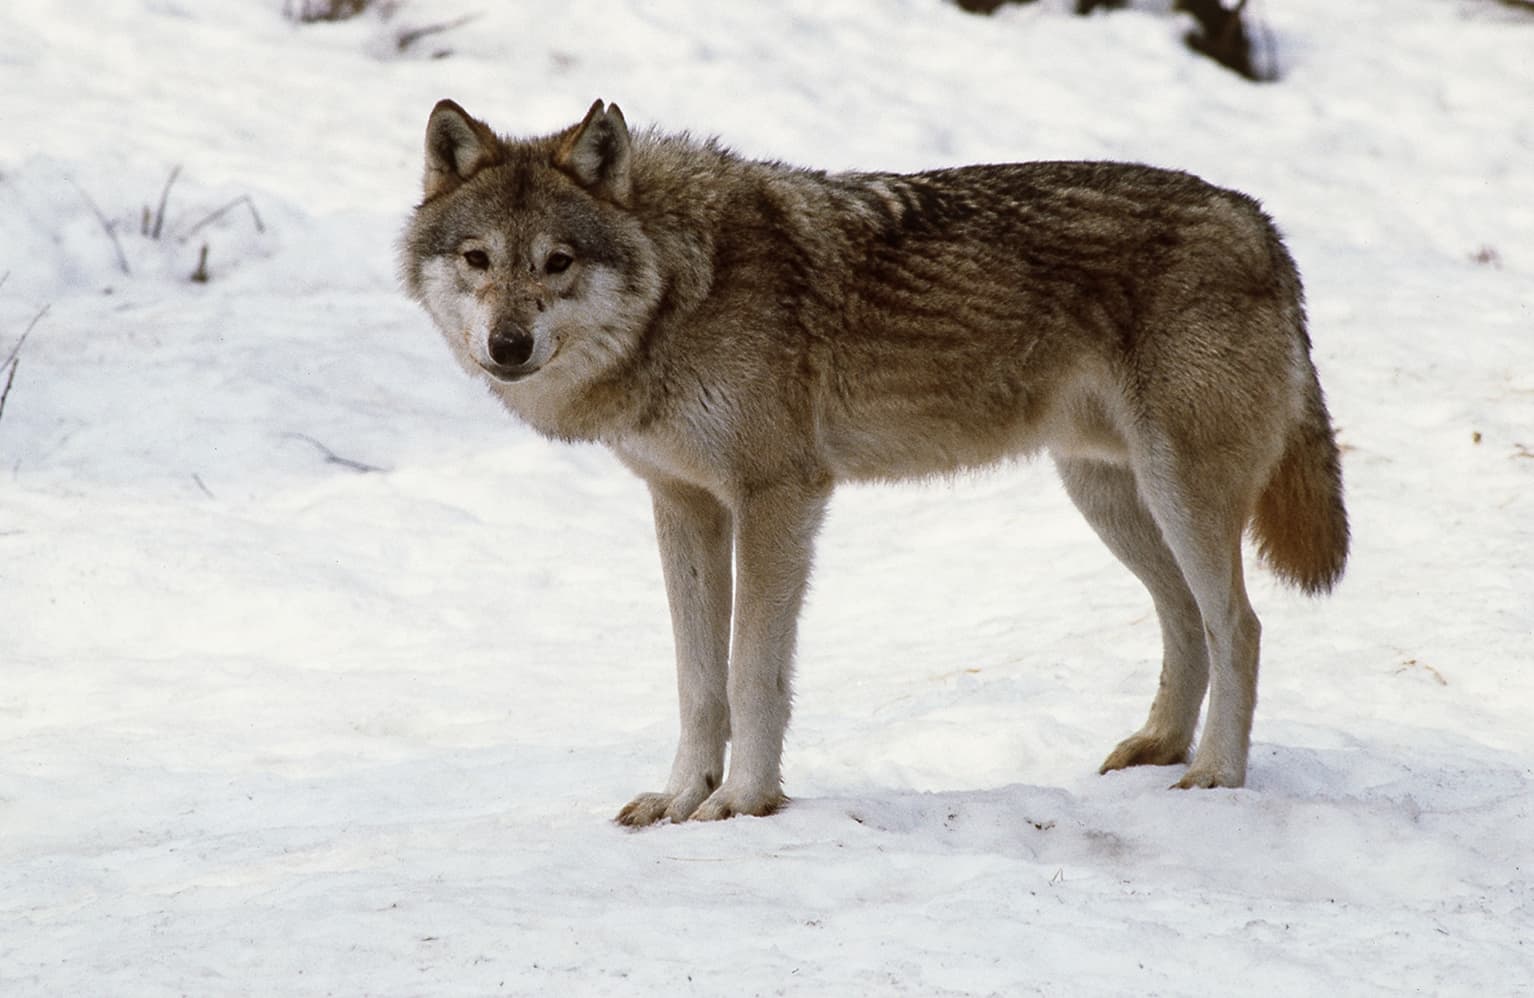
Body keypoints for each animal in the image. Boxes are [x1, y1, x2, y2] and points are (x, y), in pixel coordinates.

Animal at [400, 99, 1348, 826]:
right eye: (478, 259)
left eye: (557, 262)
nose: (508, 345)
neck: (684, 285)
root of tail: (1260, 223)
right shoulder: (682, 504)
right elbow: (697, 684)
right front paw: (679, 799)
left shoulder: (778, 497)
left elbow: (751, 672)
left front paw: (742, 802)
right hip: (1107, 494)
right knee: (1183, 617)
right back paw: (1159, 749)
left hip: (1176, 492)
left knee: (1239, 625)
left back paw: (1215, 774)